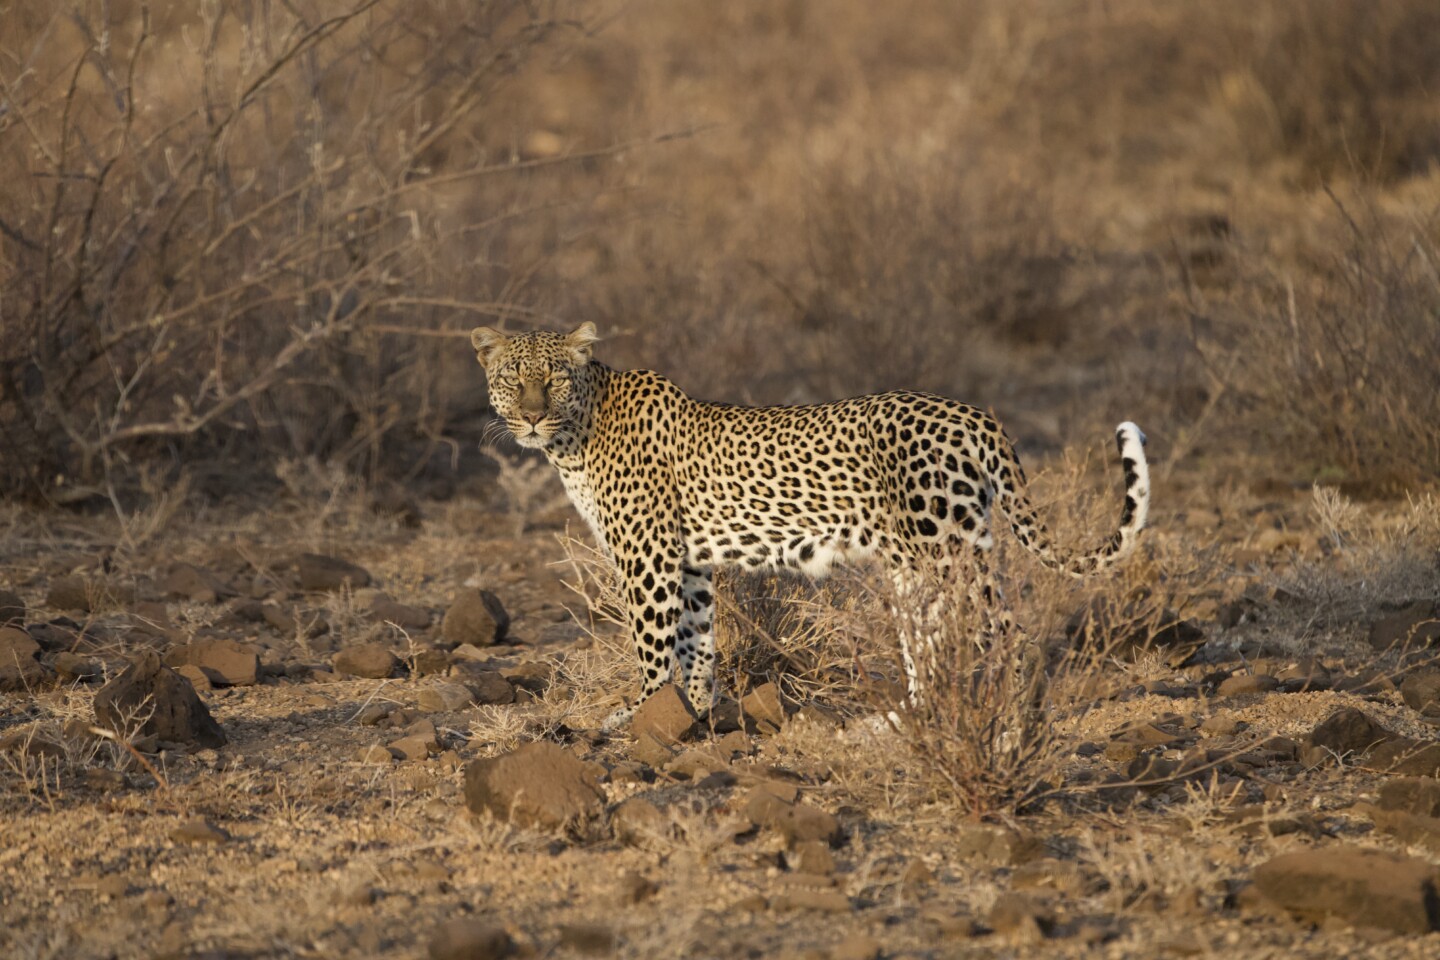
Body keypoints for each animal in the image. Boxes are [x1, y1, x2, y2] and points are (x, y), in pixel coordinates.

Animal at [471, 322, 1150, 730]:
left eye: (553, 377)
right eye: (512, 379)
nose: (531, 417)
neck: (573, 437)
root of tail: (973, 413)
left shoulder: (649, 557)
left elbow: (652, 644)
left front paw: (639, 715)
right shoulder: (689, 562)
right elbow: (695, 644)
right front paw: (694, 715)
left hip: (949, 551)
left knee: (1009, 636)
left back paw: (1004, 726)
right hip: (919, 565)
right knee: (930, 647)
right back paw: (906, 721)